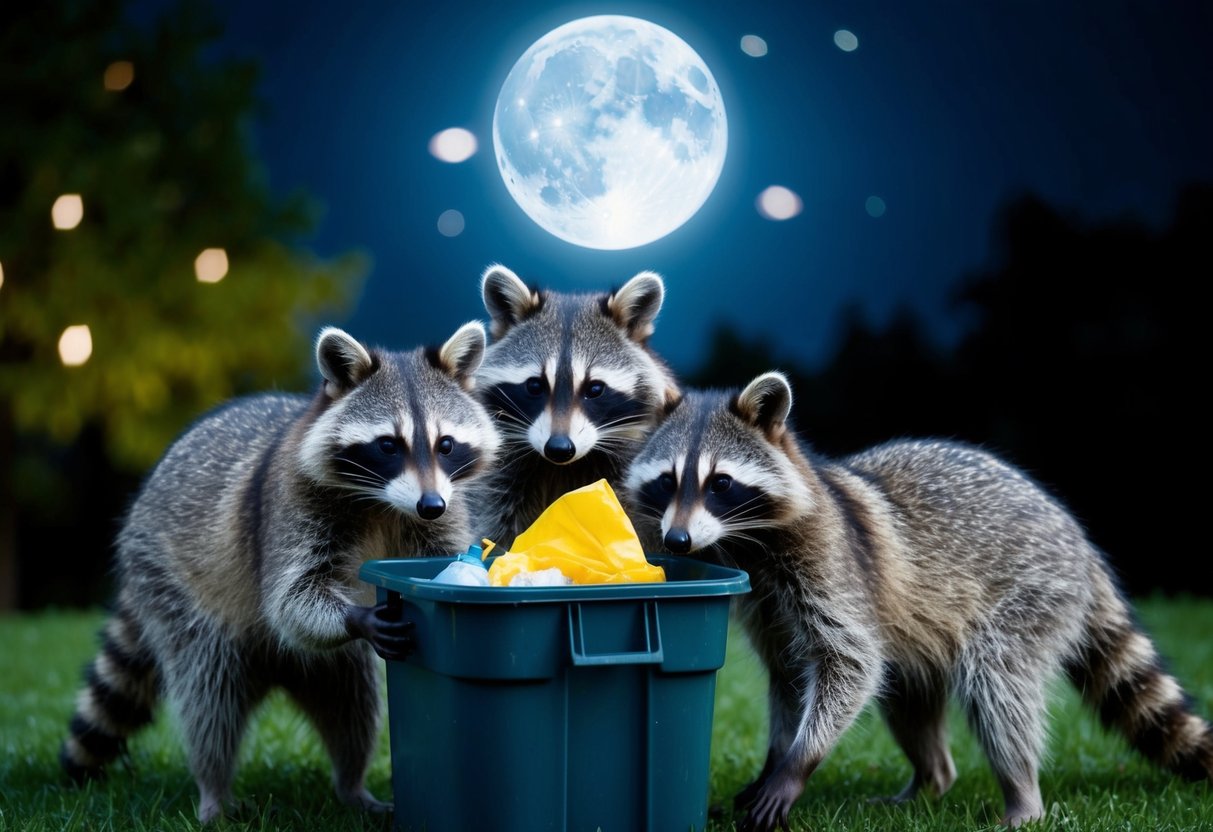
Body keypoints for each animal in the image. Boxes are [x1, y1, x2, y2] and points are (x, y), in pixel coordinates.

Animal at [60, 323, 499, 822]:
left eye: (446, 444)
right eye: (388, 445)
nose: (430, 505)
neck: (384, 502)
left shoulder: (446, 507)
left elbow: (442, 553)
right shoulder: (291, 506)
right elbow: (290, 596)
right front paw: (358, 617)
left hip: (325, 666)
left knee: (351, 704)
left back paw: (351, 783)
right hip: (170, 583)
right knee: (209, 695)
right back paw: (213, 787)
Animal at [624, 372, 1213, 831]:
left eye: (721, 483)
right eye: (667, 481)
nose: (677, 541)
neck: (748, 541)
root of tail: (1082, 546)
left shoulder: (833, 570)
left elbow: (850, 664)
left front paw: (796, 765)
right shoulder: (764, 601)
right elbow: (790, 678)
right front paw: (775, 760)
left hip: (1034, 593)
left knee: (998, 684)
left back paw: (1022, 795)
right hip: (923, 637)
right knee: (908, 699)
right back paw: (931, 780)